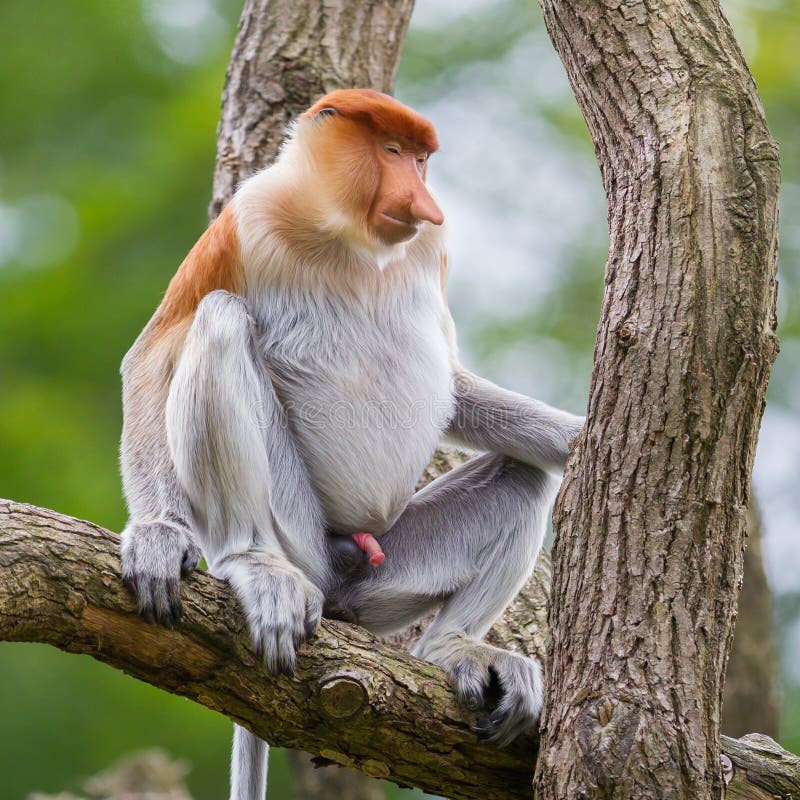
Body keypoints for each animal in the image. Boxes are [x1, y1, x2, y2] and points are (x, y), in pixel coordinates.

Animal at [119, 89, 583, 800]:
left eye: (421, 159)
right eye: (391, 151)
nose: (425, 202)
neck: (349, 237)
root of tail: (335, 573)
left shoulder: (432, 248)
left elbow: (452, 385)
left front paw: (576, 436)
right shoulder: (242, 221)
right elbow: (152, 356)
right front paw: (159, 537)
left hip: (384, 576)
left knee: (523, 478)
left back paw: (452, 650)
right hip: (298, 532)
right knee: (220, 319)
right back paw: (255, 566)